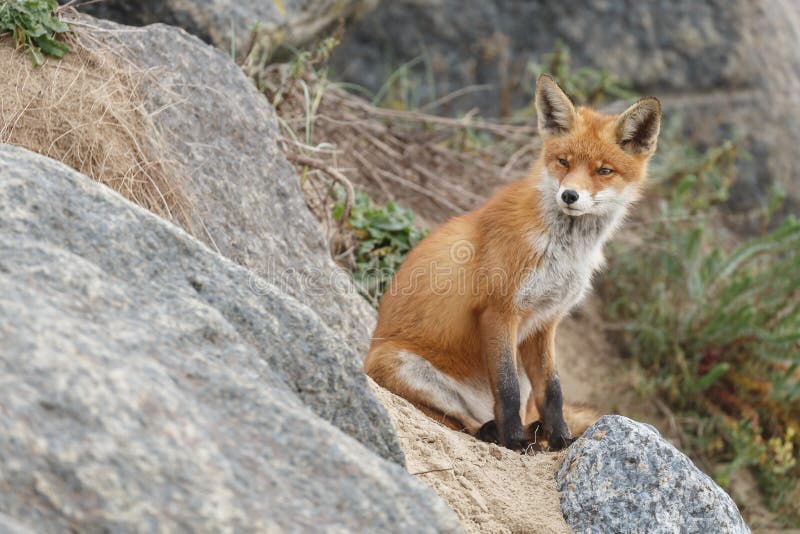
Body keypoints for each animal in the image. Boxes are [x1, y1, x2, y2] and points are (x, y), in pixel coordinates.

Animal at [365, 74, 661, 451]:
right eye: (563, 162)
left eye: (604, 171)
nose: (569, 195)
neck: (563, 251)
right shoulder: (499, 311)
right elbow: (506, 390)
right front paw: (515, 442)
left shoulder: (546, 321)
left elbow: (553, 390)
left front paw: (561, 439)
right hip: (398, 363)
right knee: (461, 420)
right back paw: (496, 432)